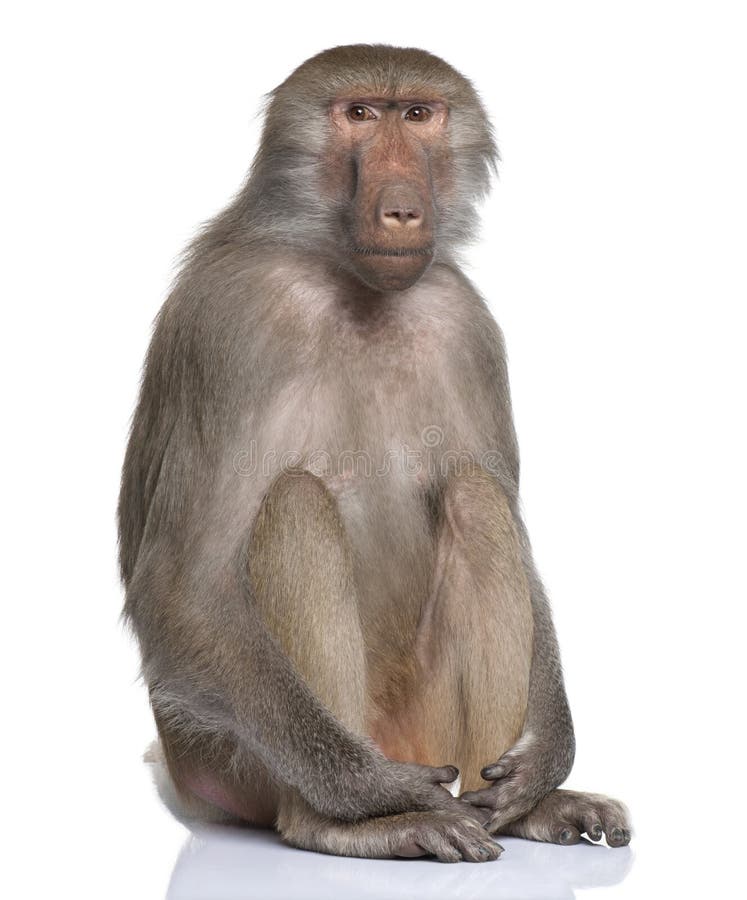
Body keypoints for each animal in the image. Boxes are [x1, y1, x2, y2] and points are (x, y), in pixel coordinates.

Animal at [119, 44, 631, 863]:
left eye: (418, 115)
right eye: (358, 114)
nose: (400, 209)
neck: (345, 276)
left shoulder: (465, 323)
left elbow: (509, 528)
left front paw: (548, 760)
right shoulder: (232, 318)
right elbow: (181, 583)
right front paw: (375, 791)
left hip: (433, 733)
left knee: (475, 497)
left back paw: (523, 811)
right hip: (234, 756)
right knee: (295, 503)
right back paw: (350, 821)